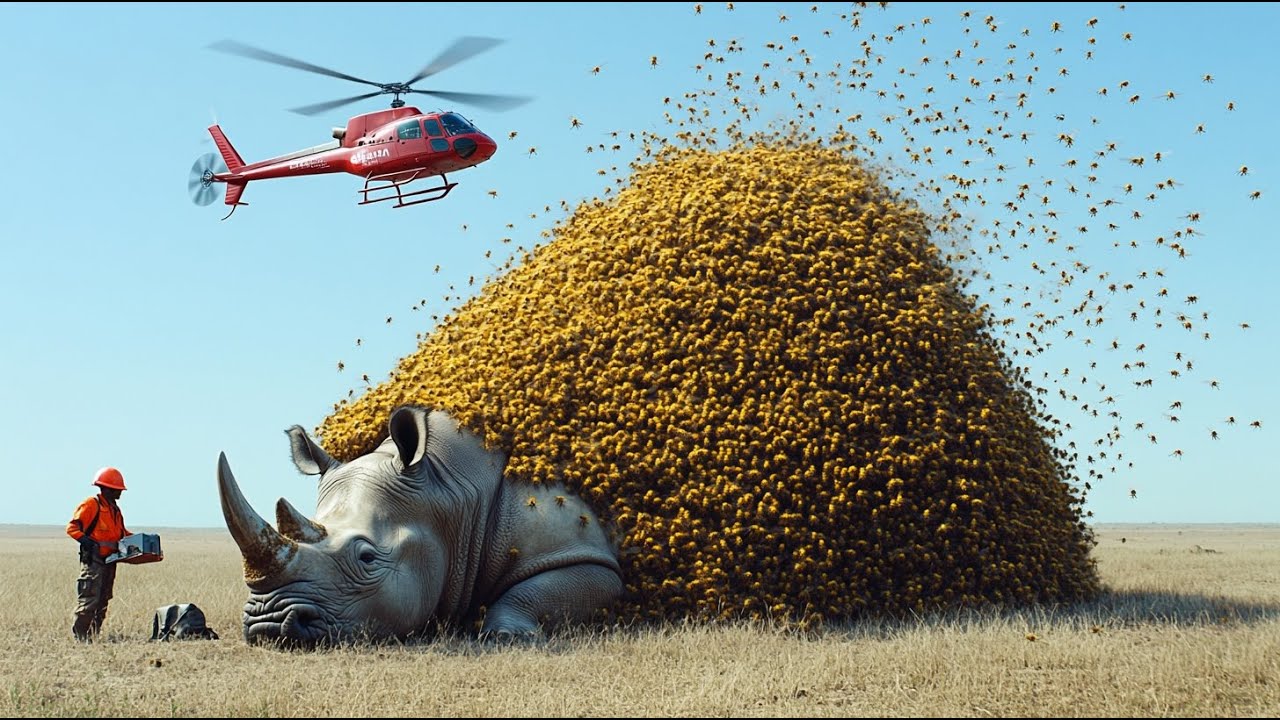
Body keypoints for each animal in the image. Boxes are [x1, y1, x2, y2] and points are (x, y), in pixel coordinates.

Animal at [217, 405, 623, 645]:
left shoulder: (582, 552)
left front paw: (506, 636)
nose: (267, 623)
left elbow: (545, 587)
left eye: (367, 558)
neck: (449, 491)